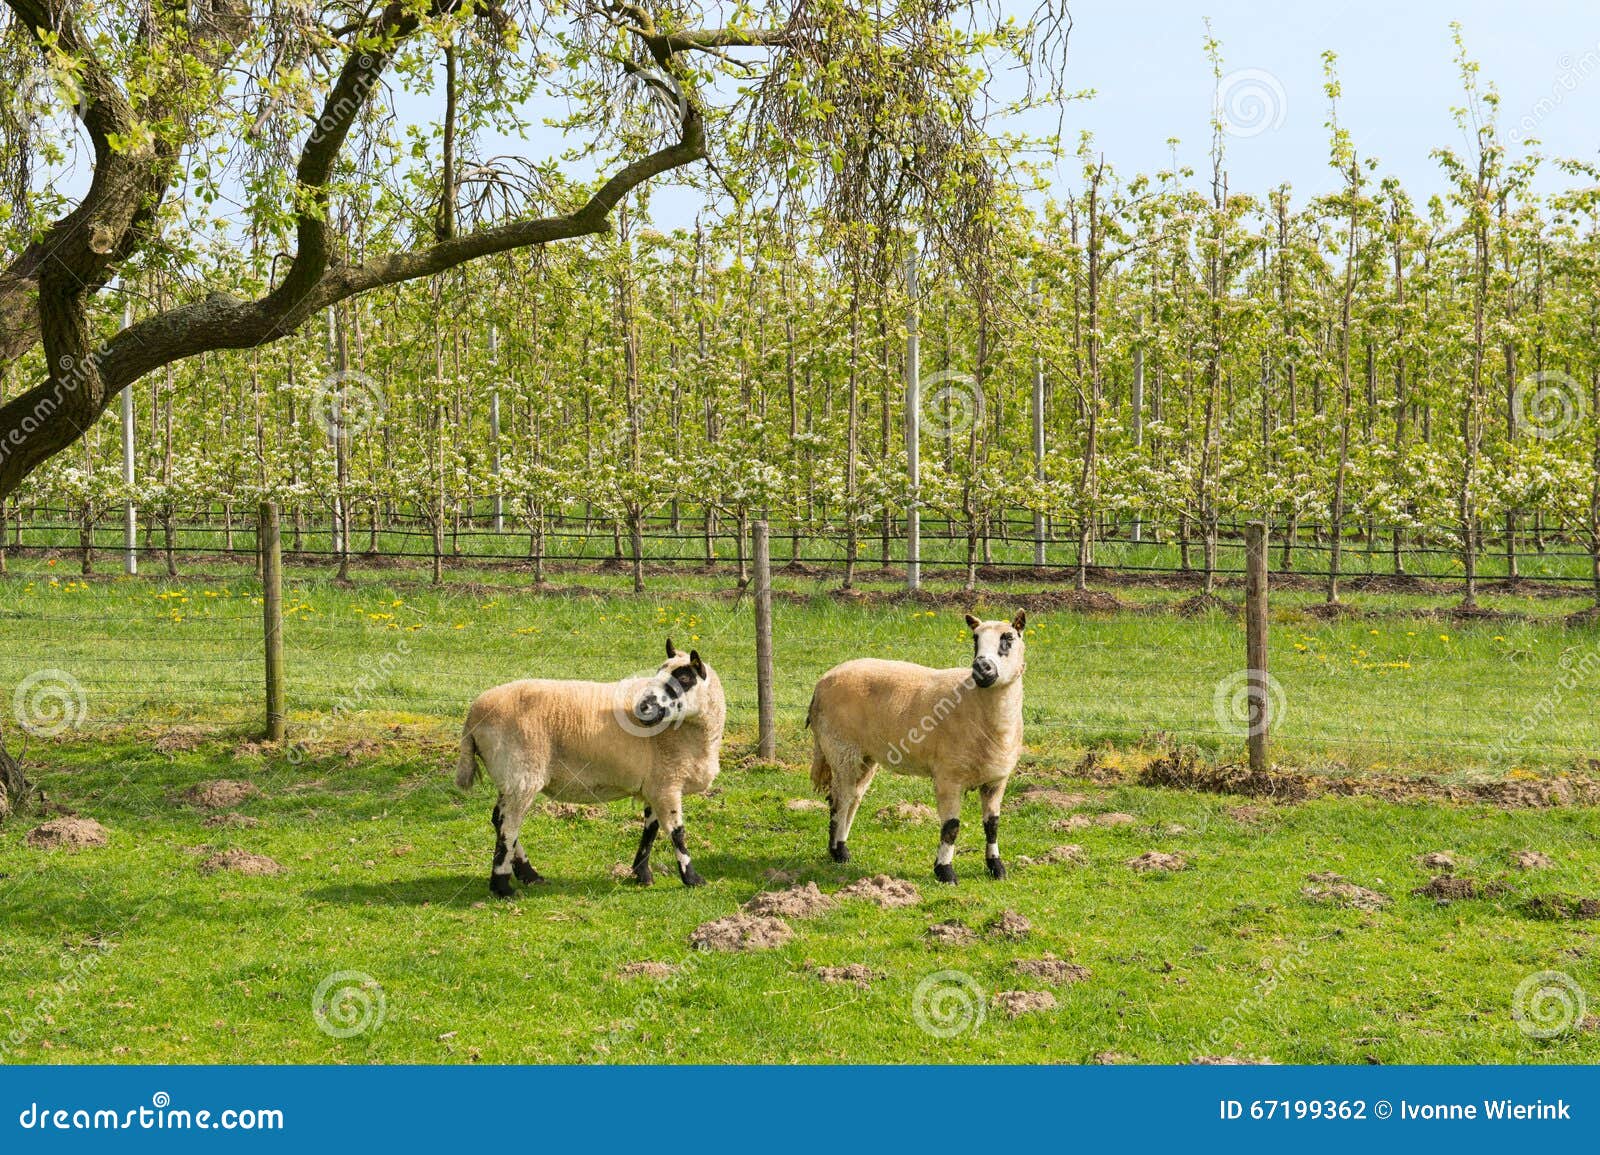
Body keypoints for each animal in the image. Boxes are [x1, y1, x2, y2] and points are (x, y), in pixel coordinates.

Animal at [455, 639, 725, 897]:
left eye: (683, 680)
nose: (643, 708)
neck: (693, 734)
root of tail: (473, 717)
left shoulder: (657, 783)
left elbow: (651, 828)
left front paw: (642, 874)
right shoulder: (667, 784)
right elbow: (677, 832)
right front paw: (692, 878)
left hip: (511, 777)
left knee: (499, 818)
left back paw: (529, 875)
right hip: (522, 773)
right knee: (509, 825)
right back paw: (503, 887)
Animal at [806, 611, 1026, 884]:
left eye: (1008, 638)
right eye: (975, 639)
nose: (981, 668)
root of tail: (821, 682)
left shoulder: (997, 780)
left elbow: (992, 825)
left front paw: (996, 867)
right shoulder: (948, 776)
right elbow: (951, 827)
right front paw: (945, 871)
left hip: (864, 756)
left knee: (853, 798)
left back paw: (841, 848)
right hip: (841, 748)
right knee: (841, 799)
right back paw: (838, 852)